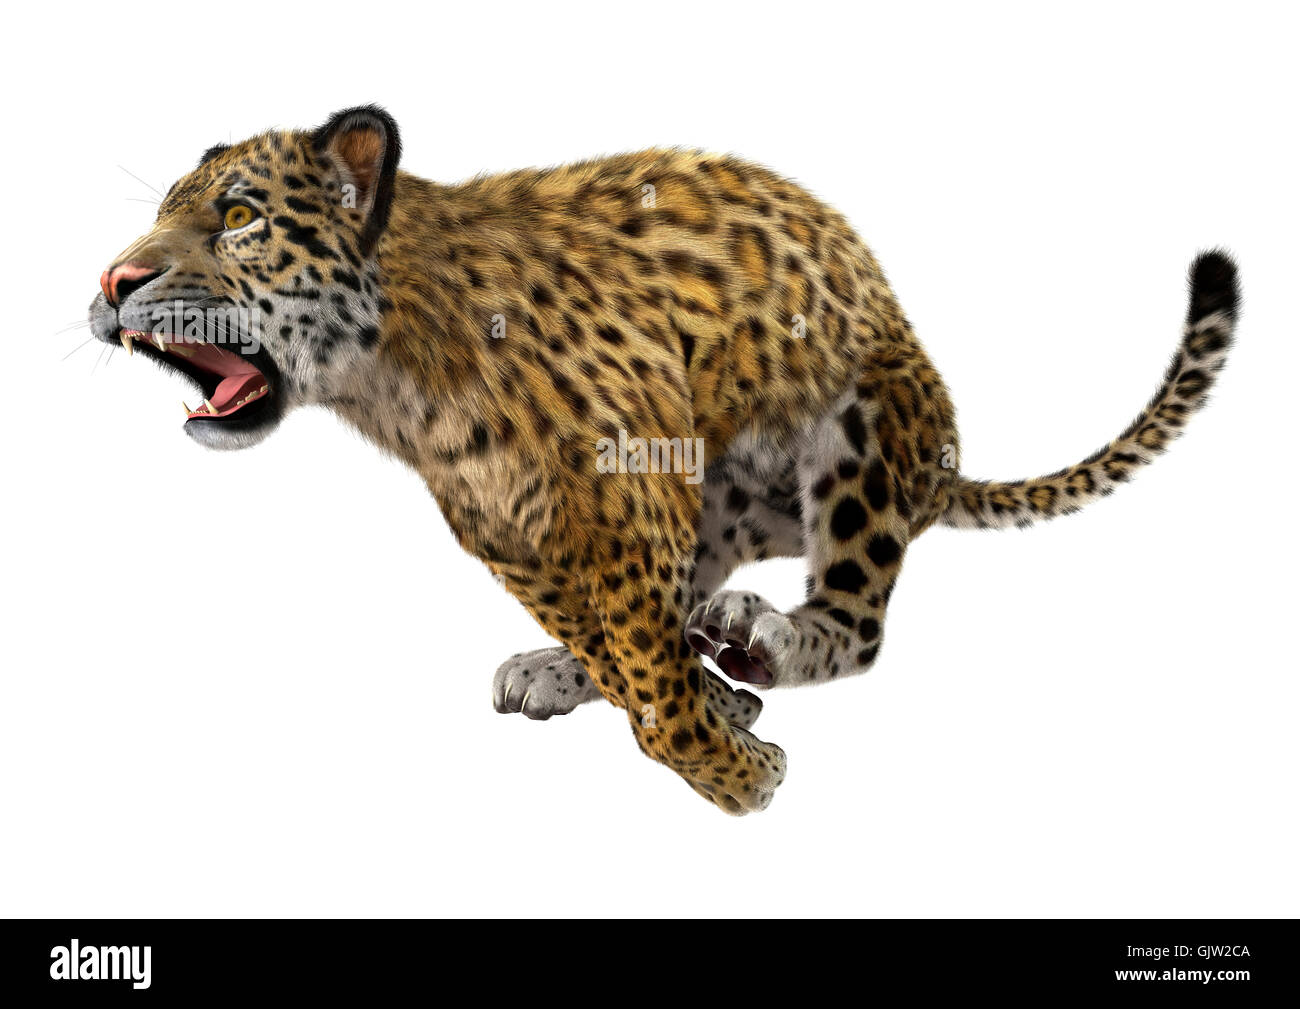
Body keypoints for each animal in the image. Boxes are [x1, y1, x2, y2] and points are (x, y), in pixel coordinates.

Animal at [87, 105, 1238, 814]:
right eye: (163, 211)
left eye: (238, 218)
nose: (112, 281)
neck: (395, 386)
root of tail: (939, 460)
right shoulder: (516, 531)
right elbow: (619, 649)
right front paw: (693, 711)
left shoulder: (629, 486)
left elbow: (649, 671)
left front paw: (734, 772)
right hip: (720, 497)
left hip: (860, 430)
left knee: (857, 619)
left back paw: (771, 639)